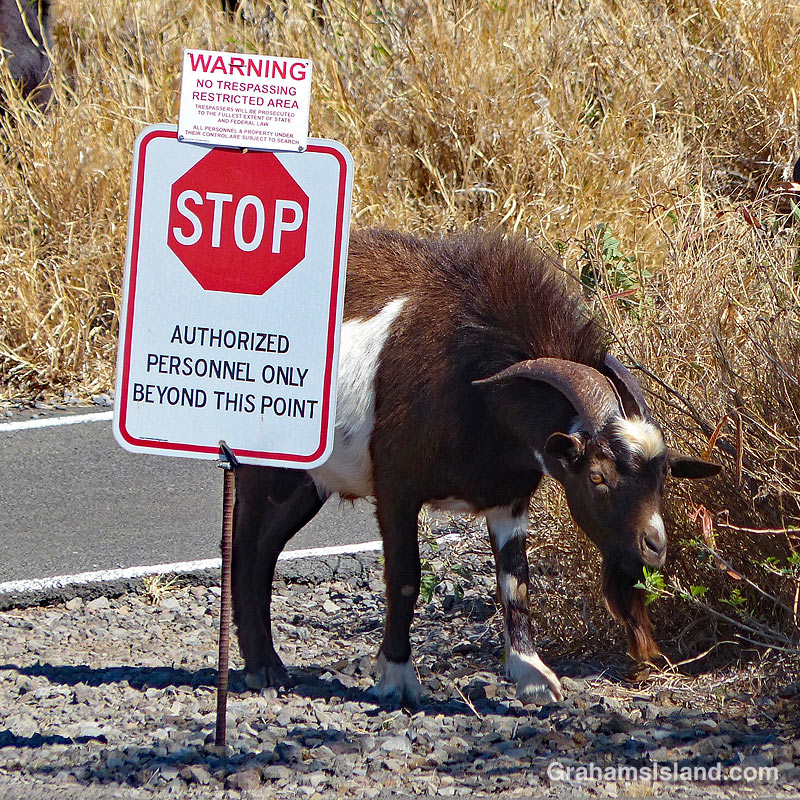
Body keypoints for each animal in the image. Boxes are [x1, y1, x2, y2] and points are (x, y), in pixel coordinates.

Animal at [232, 228, 720, 705]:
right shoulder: (395, 487)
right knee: (246, 547)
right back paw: (260, 668)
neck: (473, 384)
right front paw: (397, 677)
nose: (654, 547)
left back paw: (269, 663)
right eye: (598, 476)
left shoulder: (509, 499)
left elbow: (515, 581)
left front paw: (532, 675)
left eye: (663, 478)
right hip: (262, 460)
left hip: (305, 483)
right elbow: (405, 576)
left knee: (266, 549)